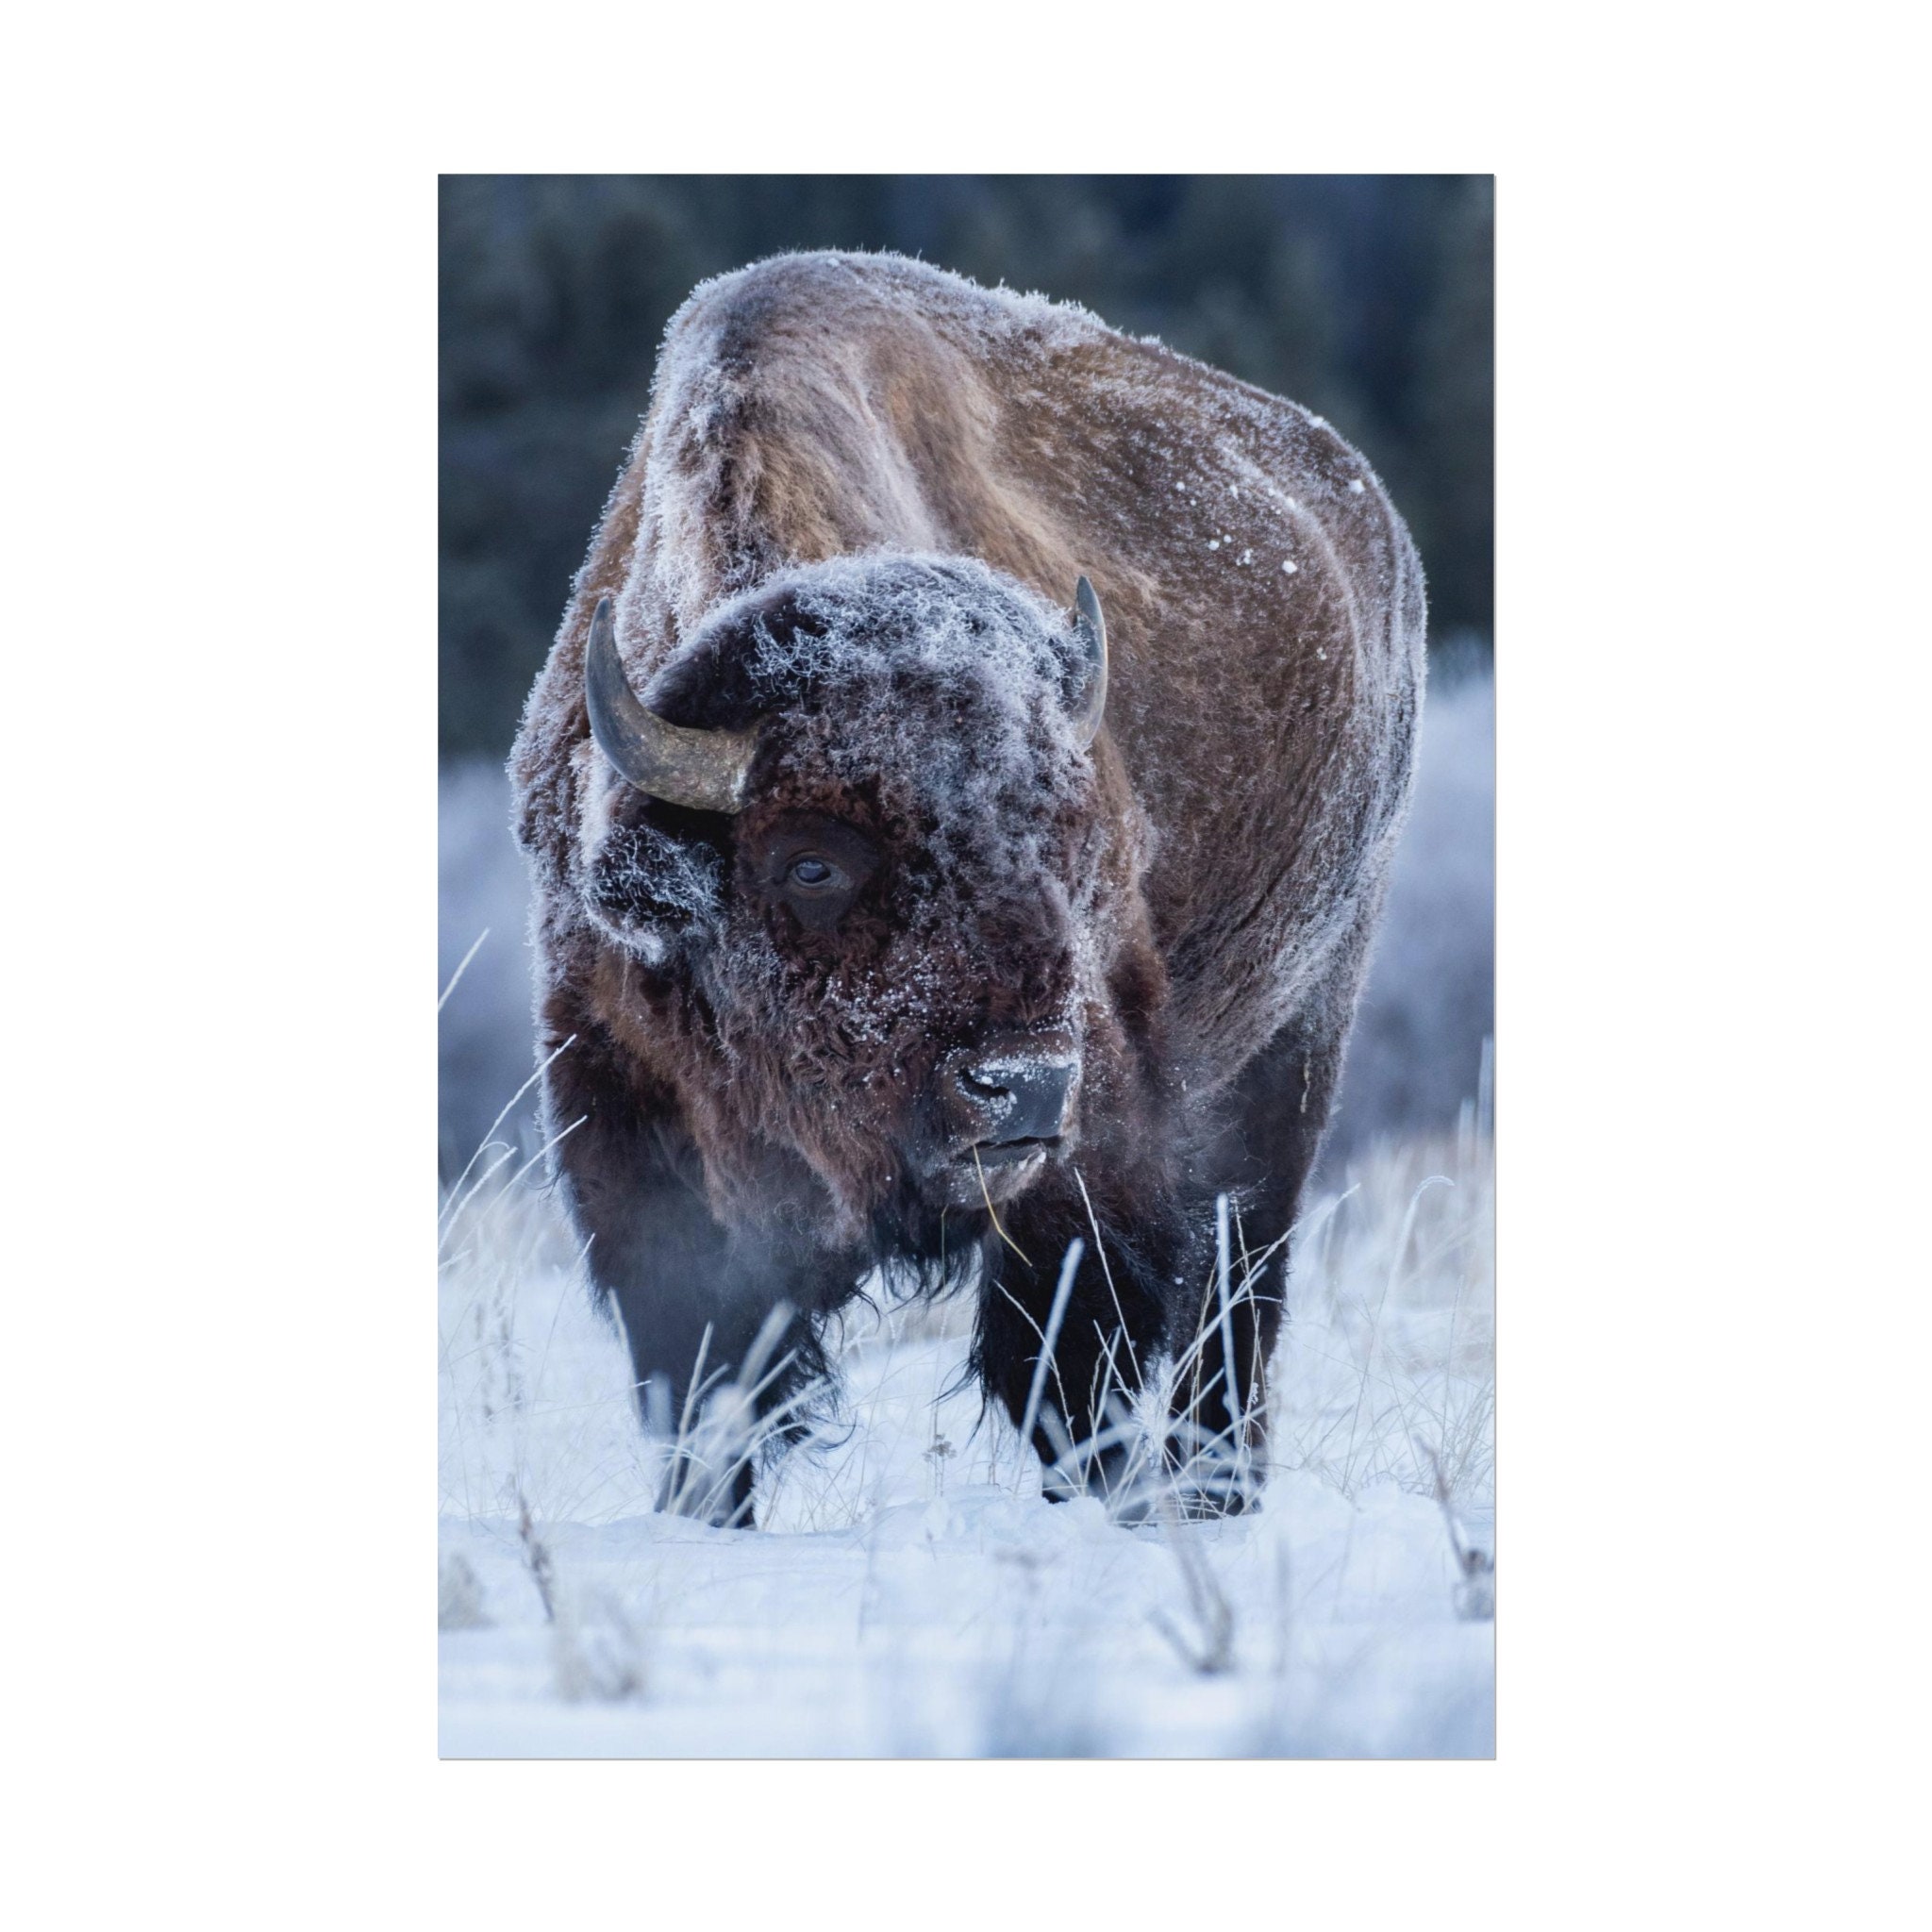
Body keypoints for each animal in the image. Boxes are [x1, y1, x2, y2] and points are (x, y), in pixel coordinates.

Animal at [509, 251, 1425, 1520]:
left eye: (1070, 848)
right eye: (810, 863)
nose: (1019, 1085)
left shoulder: (1093, 1158)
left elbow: (1070, 1368)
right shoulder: (629, 1127)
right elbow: (705, 1389)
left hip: (1294, 1039)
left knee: (1238, 1291)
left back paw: (1216, 1493)